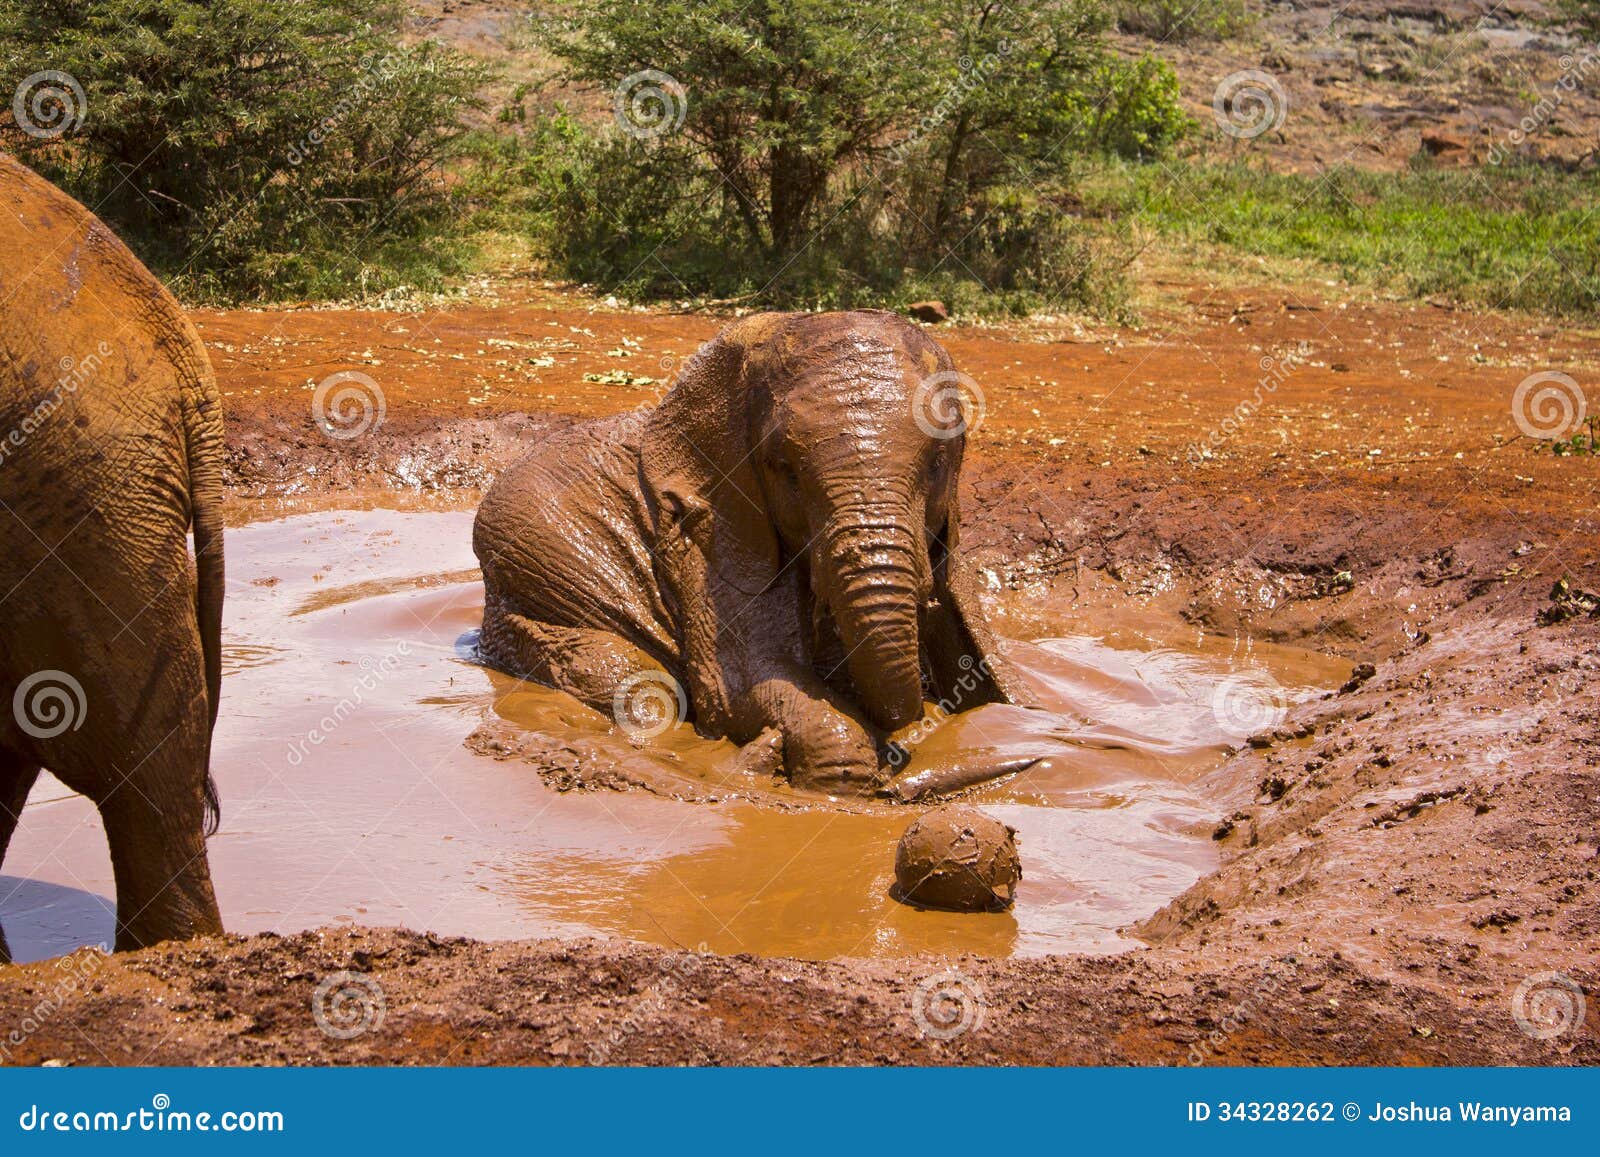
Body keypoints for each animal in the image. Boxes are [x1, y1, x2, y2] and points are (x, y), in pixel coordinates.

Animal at [473, 309, 1035, 797]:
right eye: (783, 468)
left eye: (940, 460)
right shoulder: (715, 539)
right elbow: (735, 689)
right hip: (532, 576)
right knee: (634, 683)